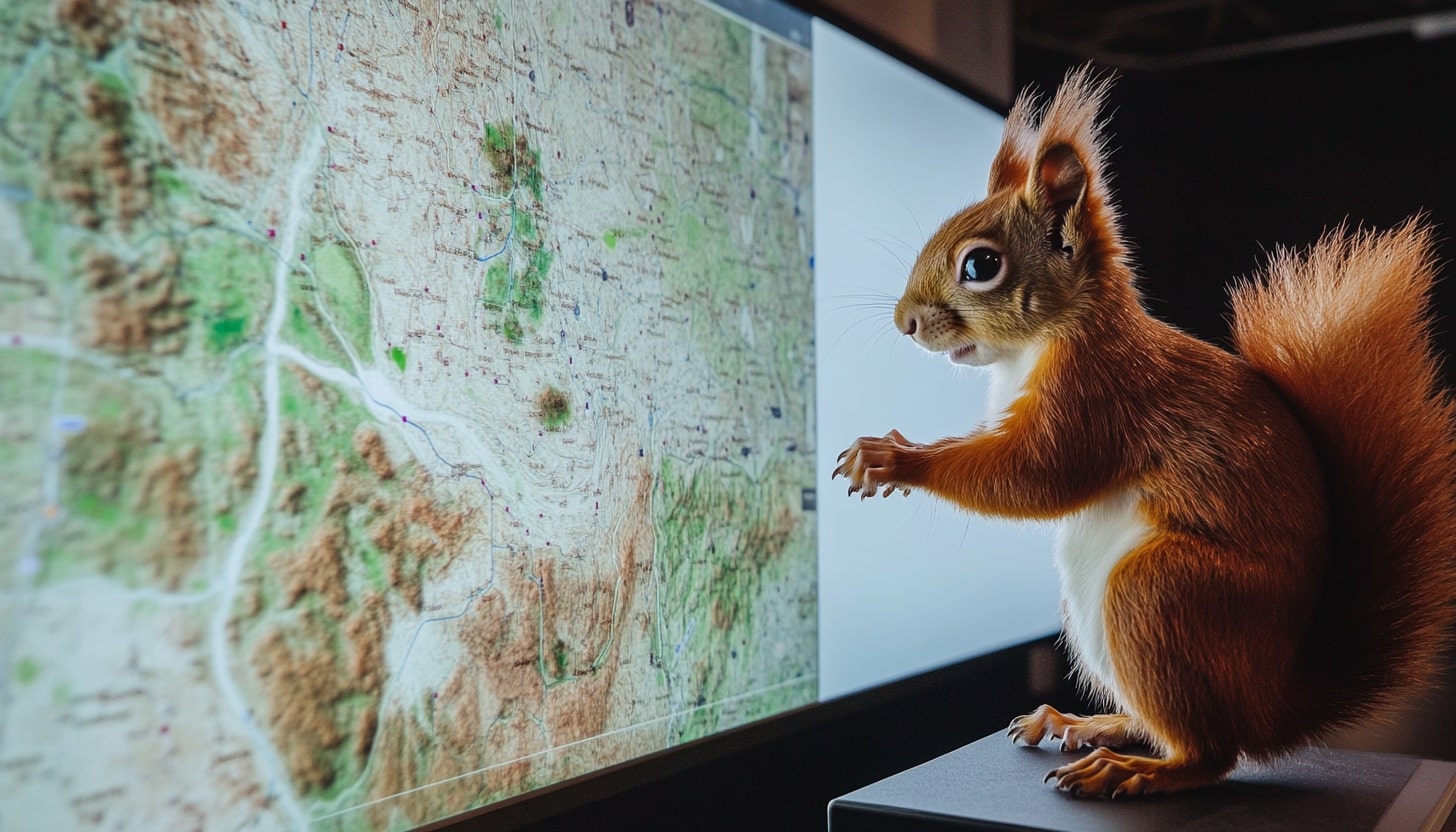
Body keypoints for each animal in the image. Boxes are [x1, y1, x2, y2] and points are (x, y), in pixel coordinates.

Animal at [833, 66, 1456, 799]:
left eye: (980, 265)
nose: (904, 322)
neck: (1046, 340)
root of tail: (1274, 706)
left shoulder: (1098, 396)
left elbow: (1036, 475)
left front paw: (896, 459)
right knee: (1163, 725)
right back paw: (1085, 724)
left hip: (1158, 596)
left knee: (1211, 754)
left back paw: (1133, 771)